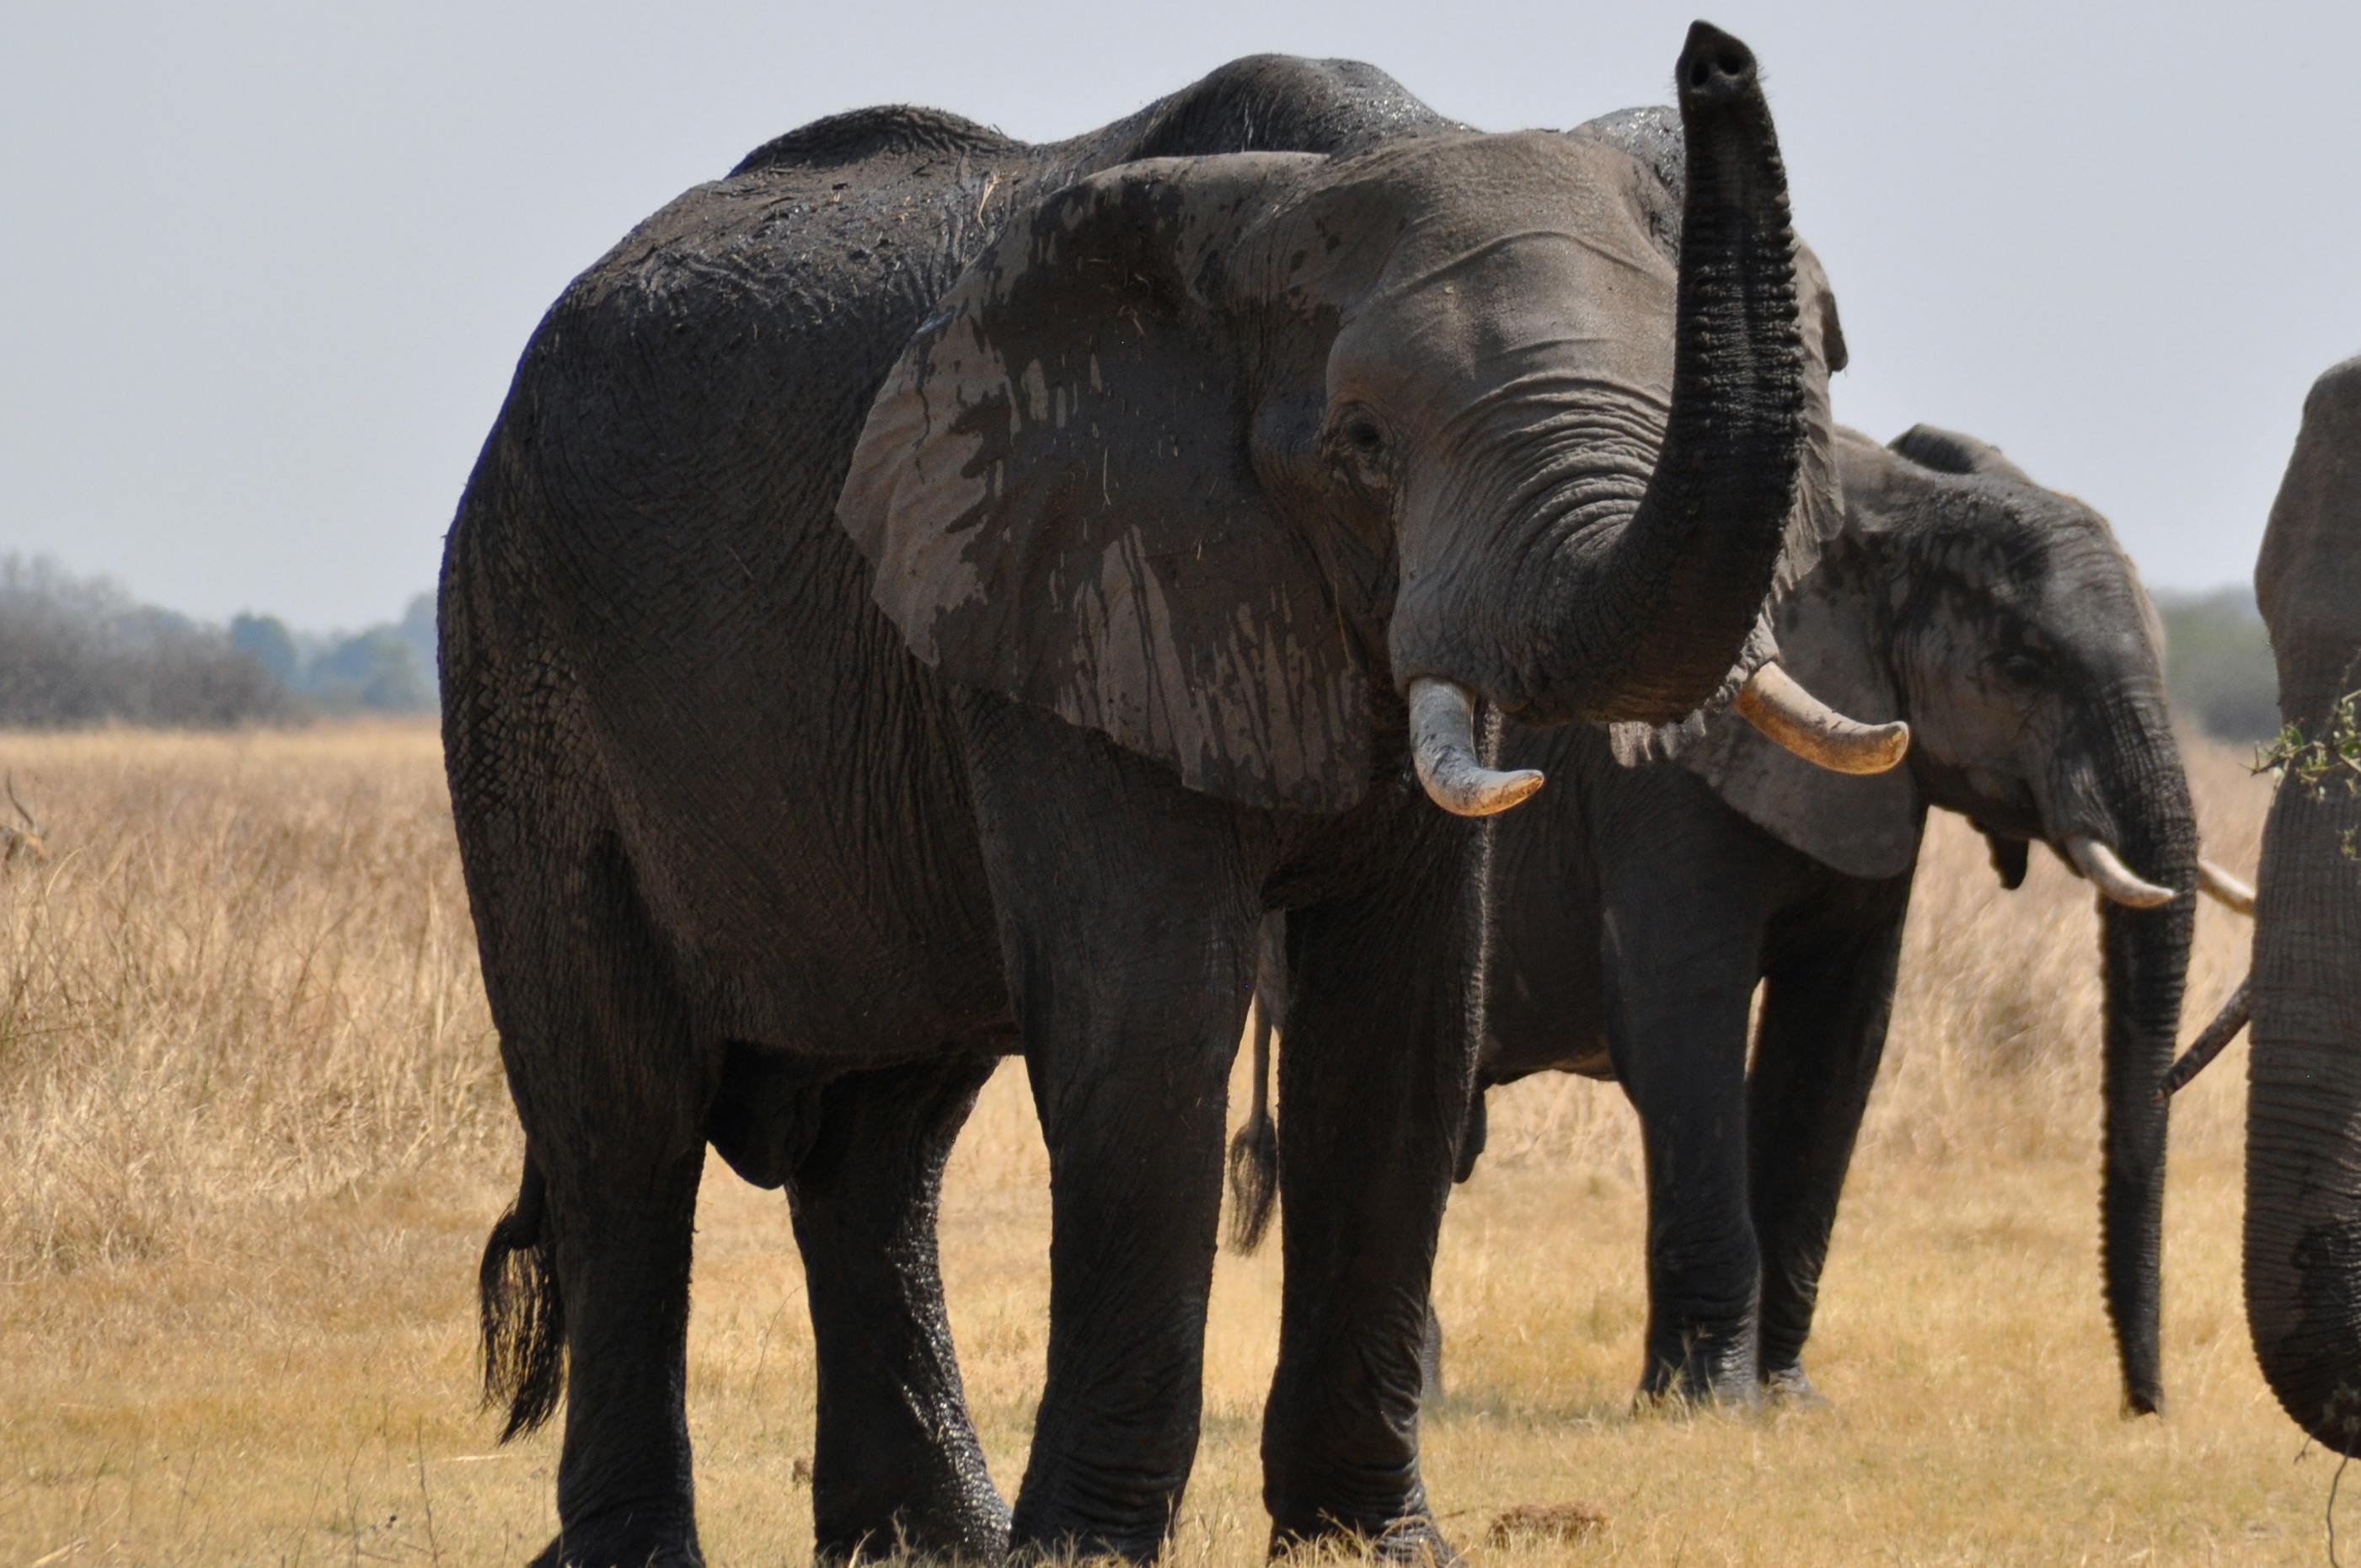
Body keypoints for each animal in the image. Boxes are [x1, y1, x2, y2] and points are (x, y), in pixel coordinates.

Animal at [439, 27, 1878, 1566]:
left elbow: (1404, 1027)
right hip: (518, 660)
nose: (1712, 57)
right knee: (624, 1128)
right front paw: (1084, 1556)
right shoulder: (1061, 571)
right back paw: (666, 1547)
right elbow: (1151, 1018)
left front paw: (1374, 1546)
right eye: (1363, 444)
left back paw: (932, 1546)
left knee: (882, 1150)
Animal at [1236, 420, 2253, 1415]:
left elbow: (1839, 1039)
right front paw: (1708, 1403)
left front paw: (1790, 1401)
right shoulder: (1664, 781)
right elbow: (1684, 1022)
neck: (1895, 508)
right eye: (2023, 667)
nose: (2146, 1408)